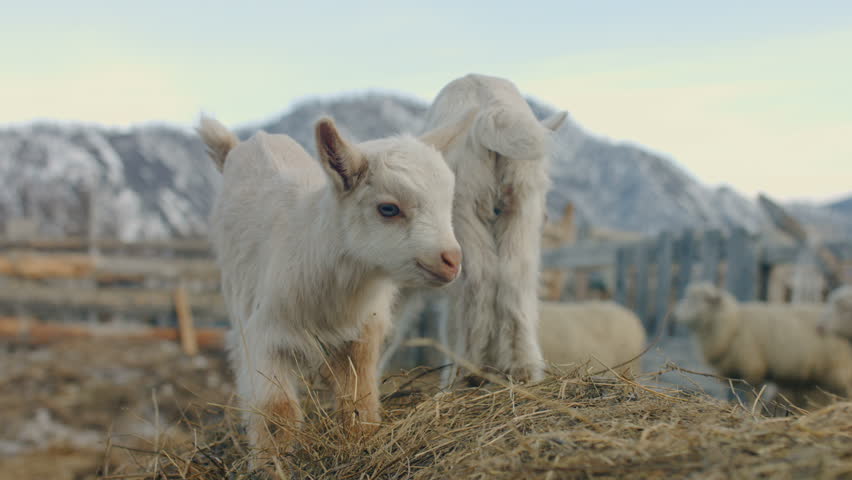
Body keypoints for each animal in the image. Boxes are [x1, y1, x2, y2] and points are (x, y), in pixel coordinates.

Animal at [198, 111, 474, 462]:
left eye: (447, 203)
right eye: (388, 209)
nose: (451, 260)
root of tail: (245, 143)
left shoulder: (361, 335)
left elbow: (359, 397)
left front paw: (360, 441)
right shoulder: (262, 337)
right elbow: (276, 412)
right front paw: (272, 464)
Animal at [391, 74, 568, 385]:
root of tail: (492, 109)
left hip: (463, 203)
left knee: (479, 279)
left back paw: (466, 372)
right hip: (522, 200)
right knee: (515, 274)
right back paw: (523, 368)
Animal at [674, 282, 852, 401]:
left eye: (697, 300)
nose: (676, 314)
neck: (734, 324)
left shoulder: (752, 370)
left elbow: (752, 397)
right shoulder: (735, 373)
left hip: (837, 371)